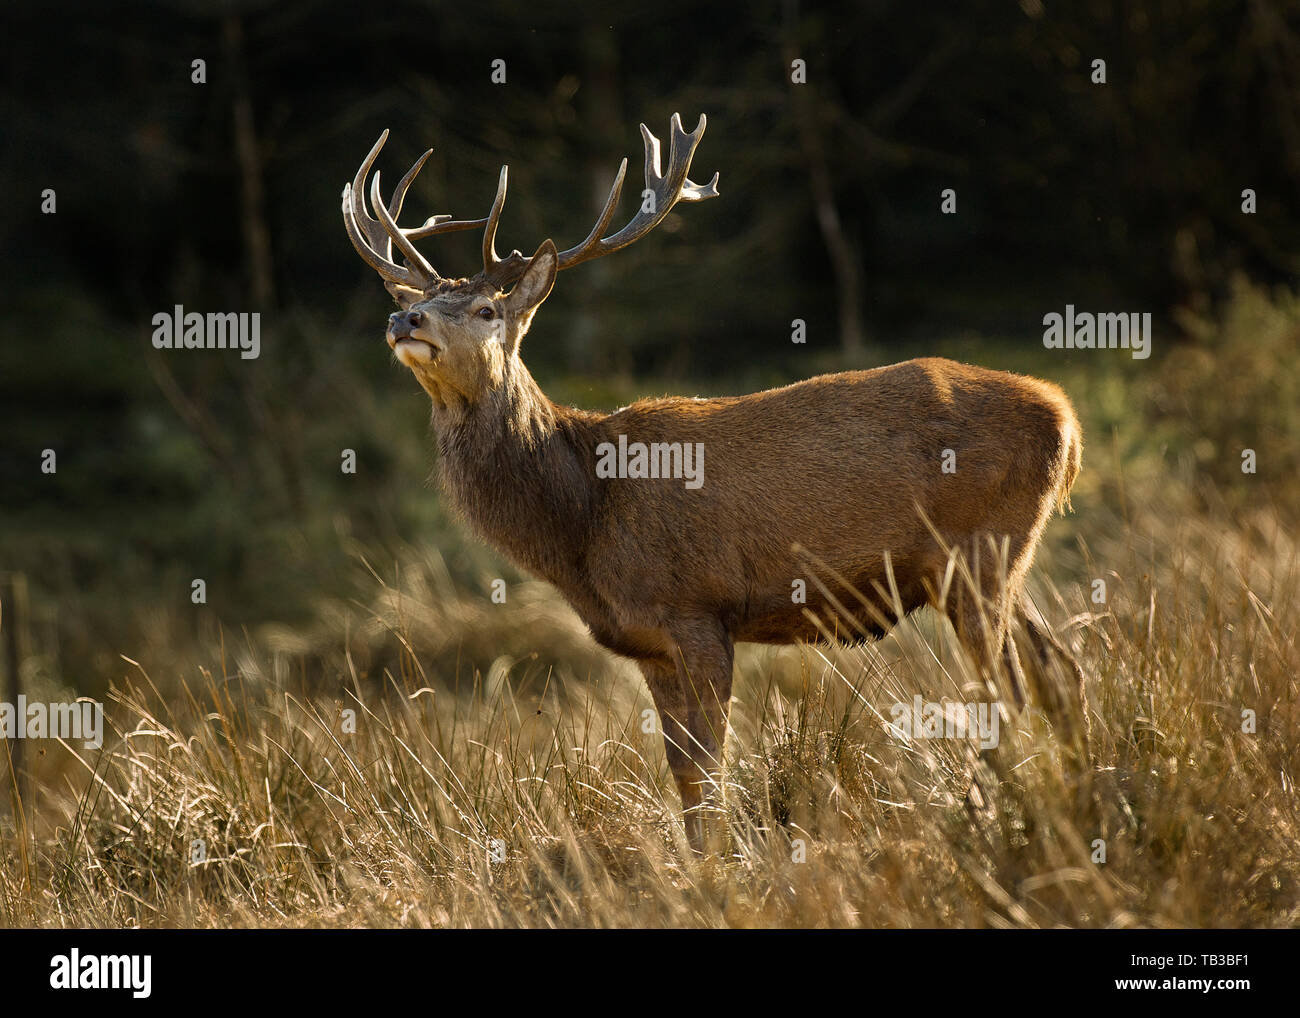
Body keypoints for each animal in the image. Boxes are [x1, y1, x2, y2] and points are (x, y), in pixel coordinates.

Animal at [341, 113, 1088, 852]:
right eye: (425, 298)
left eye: (488, 310)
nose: (403, 318)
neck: (585, 516)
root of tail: (1066, 415)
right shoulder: (646, 641)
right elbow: (683, 774)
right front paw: (701, 865)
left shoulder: (697, 608)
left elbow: (708, 768)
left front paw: (725, 867)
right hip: (998, 560)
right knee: (1059, 667)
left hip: (977, 550)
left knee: (1009, 692)